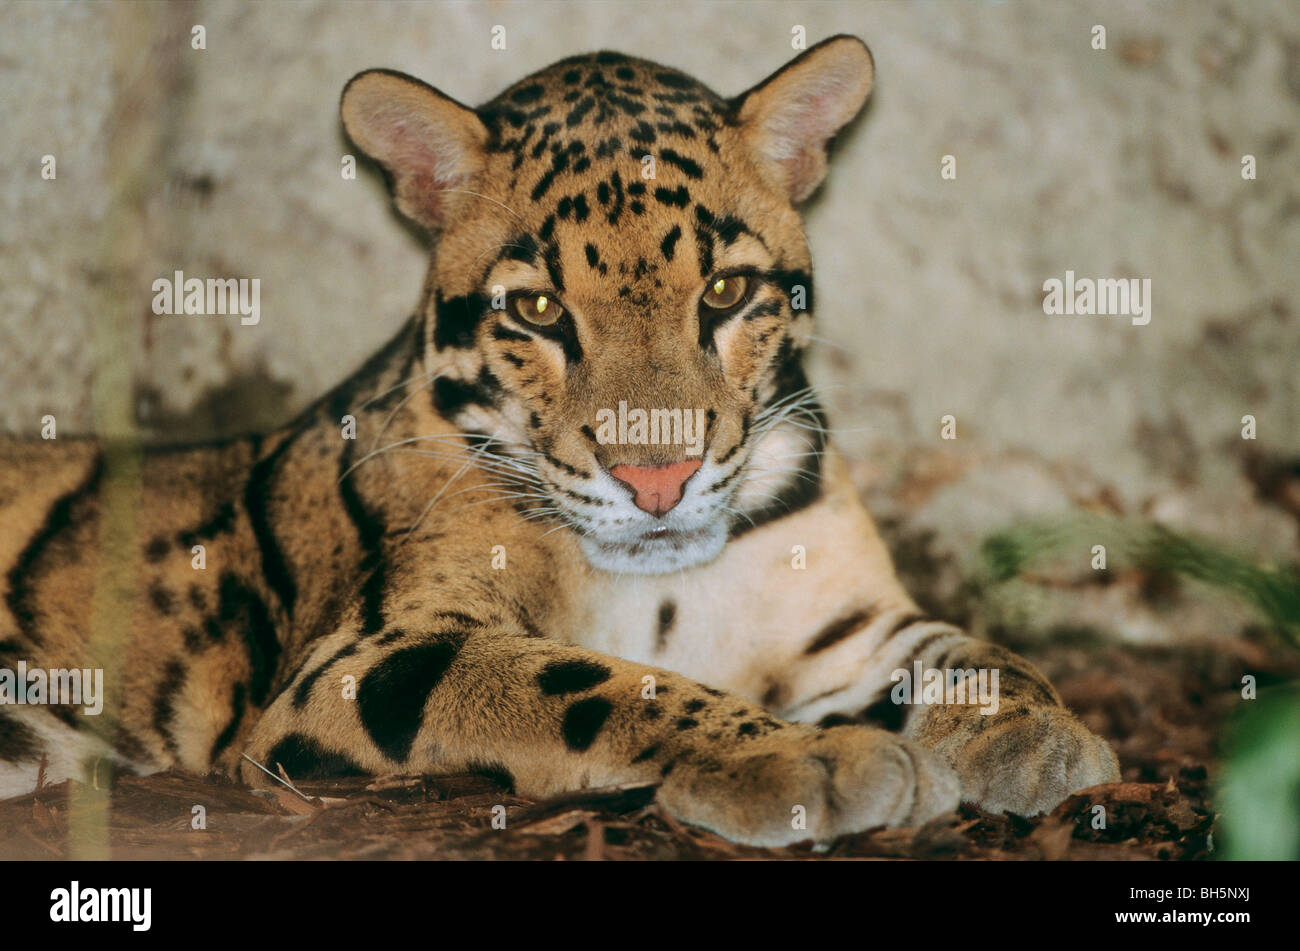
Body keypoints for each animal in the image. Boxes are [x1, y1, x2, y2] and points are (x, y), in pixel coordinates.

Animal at [0, 35, 1119, 847]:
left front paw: (1043, 736)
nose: (659, 479)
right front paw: (798, 759)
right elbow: (593, 684)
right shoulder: (361, 658)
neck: (667, 582)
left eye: (725, 292)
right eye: (537, 310)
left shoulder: (847, 626)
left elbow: (974, 652)